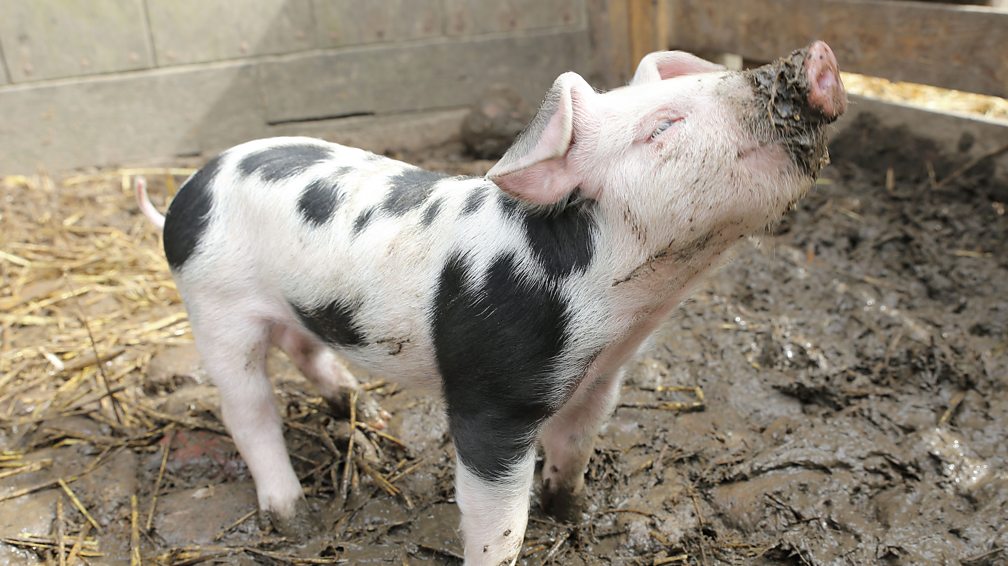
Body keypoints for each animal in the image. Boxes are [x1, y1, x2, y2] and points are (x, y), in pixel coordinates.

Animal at [136, 41, 845, 565]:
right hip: (215, 307)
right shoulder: (490, 402)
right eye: (662, 126)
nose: (818, 60)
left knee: (305, 347)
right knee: (246, 409)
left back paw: (358, 407)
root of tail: (189, 191)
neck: (621, 316)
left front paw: (573, 513)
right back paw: (294, 519)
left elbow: (575, 448)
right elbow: (498, 519)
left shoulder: (602, 377)